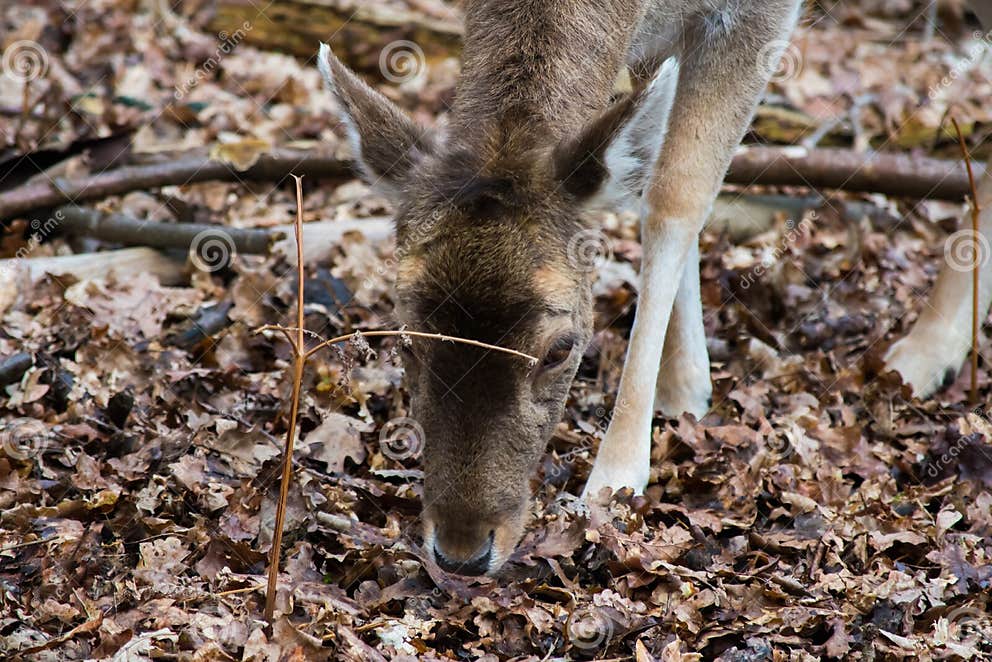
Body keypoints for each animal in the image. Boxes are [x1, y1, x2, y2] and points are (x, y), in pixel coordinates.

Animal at [317, 0, 990, 577]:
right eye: (406, 340)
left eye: (560, 348)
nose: (461, 553)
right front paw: (686, 387)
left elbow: (676, 195)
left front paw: (617, 473)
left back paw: (925, 353)